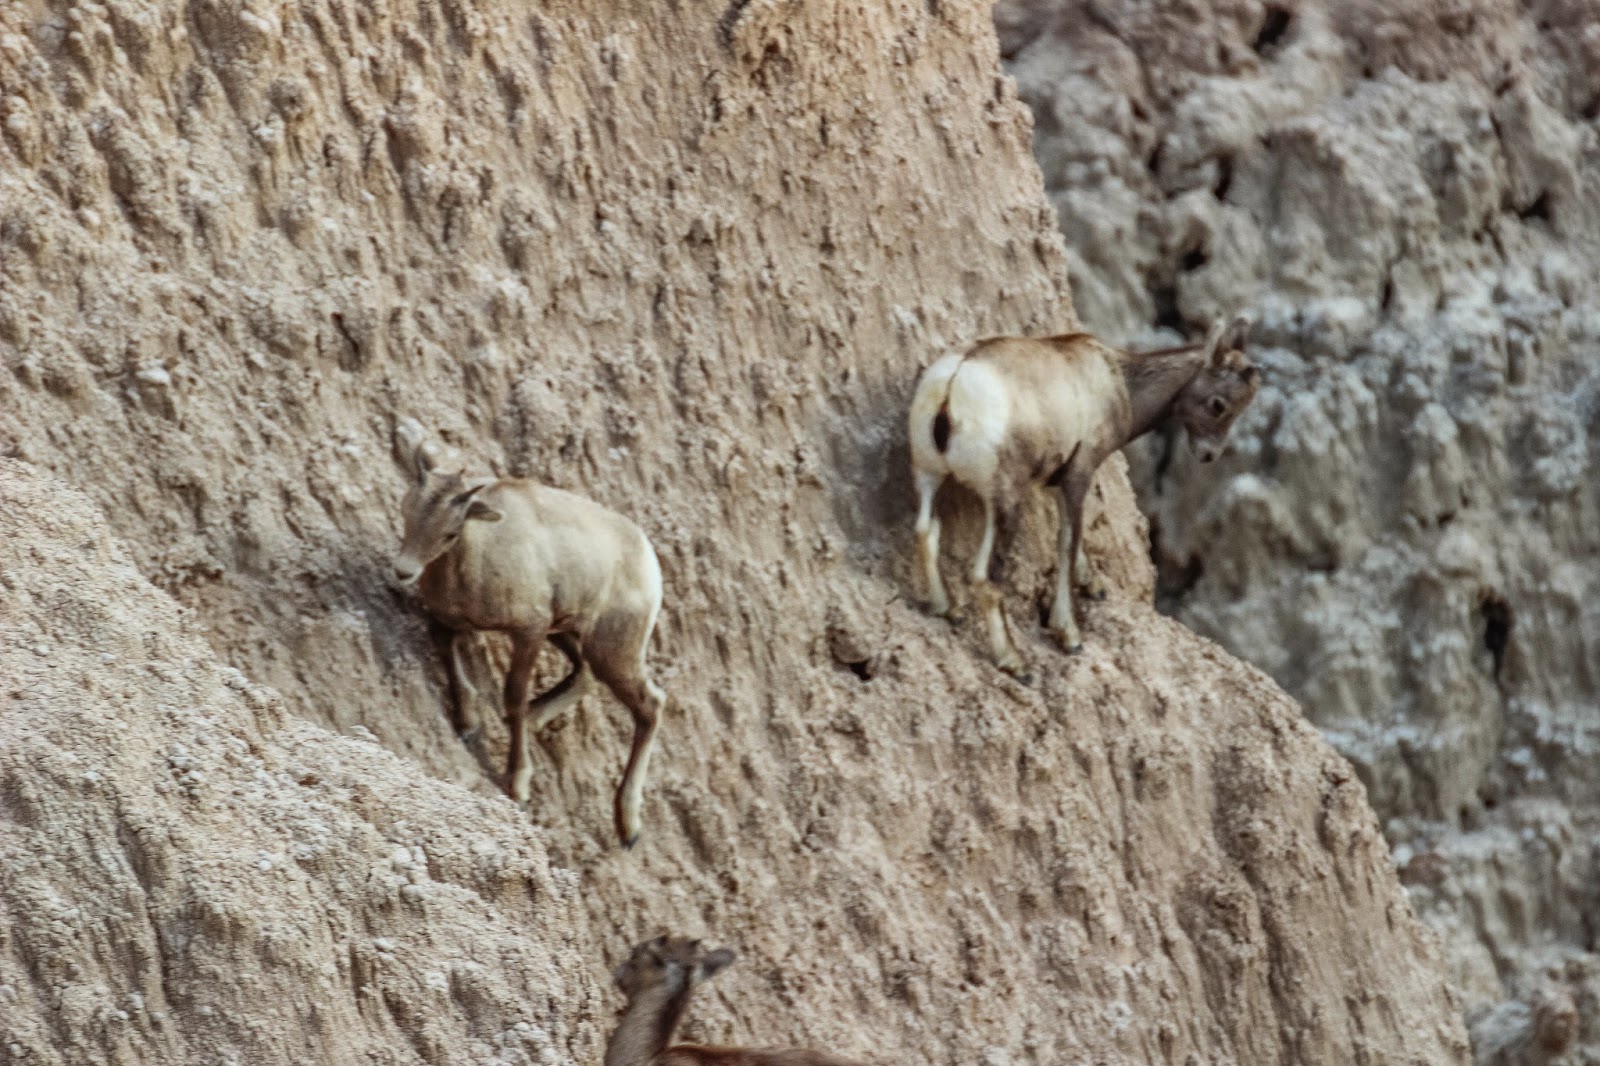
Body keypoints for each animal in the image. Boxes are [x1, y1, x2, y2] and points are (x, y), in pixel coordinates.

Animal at [391, 421, 667, 848]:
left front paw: (518, 783)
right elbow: (451, 659)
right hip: (569, 632)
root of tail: (649, 561)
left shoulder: (529, 631)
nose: (404, 571)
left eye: (451, 532)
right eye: (407, 510)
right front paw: (467, 723)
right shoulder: (448, 622)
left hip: (613, 649)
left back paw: (628, 826)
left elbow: (514, 696)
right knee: (584, 677)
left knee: (649, 705)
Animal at [907, 316, 1259, 678]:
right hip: (1004, 501)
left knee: (925, 532)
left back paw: (947, 609)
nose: (1208, 455)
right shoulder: (1080, 473)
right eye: (1219, 405)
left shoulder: (1054, 480)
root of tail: (952, 386)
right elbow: (1067, 541)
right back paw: (1015, 663)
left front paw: (1093, 585)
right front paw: (1070, 635)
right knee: (985, 577)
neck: (1119, 382)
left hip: (928, 475)